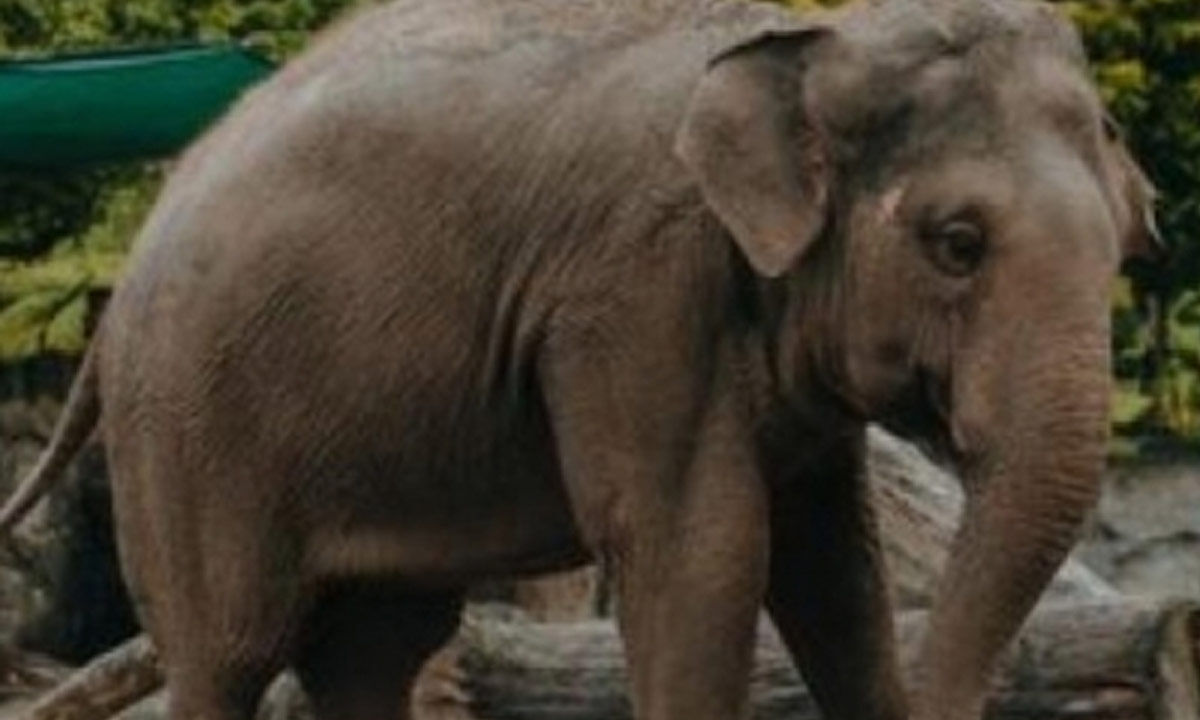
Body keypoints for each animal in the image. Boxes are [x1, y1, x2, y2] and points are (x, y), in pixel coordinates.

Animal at [0, 0, 1160, 719]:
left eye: (1127, 240)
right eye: (956, 244)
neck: (809, 42)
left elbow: (834, 567)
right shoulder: (633, 290)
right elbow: (708, 547)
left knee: (375, 647)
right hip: (189, 427)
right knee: (228, 653)